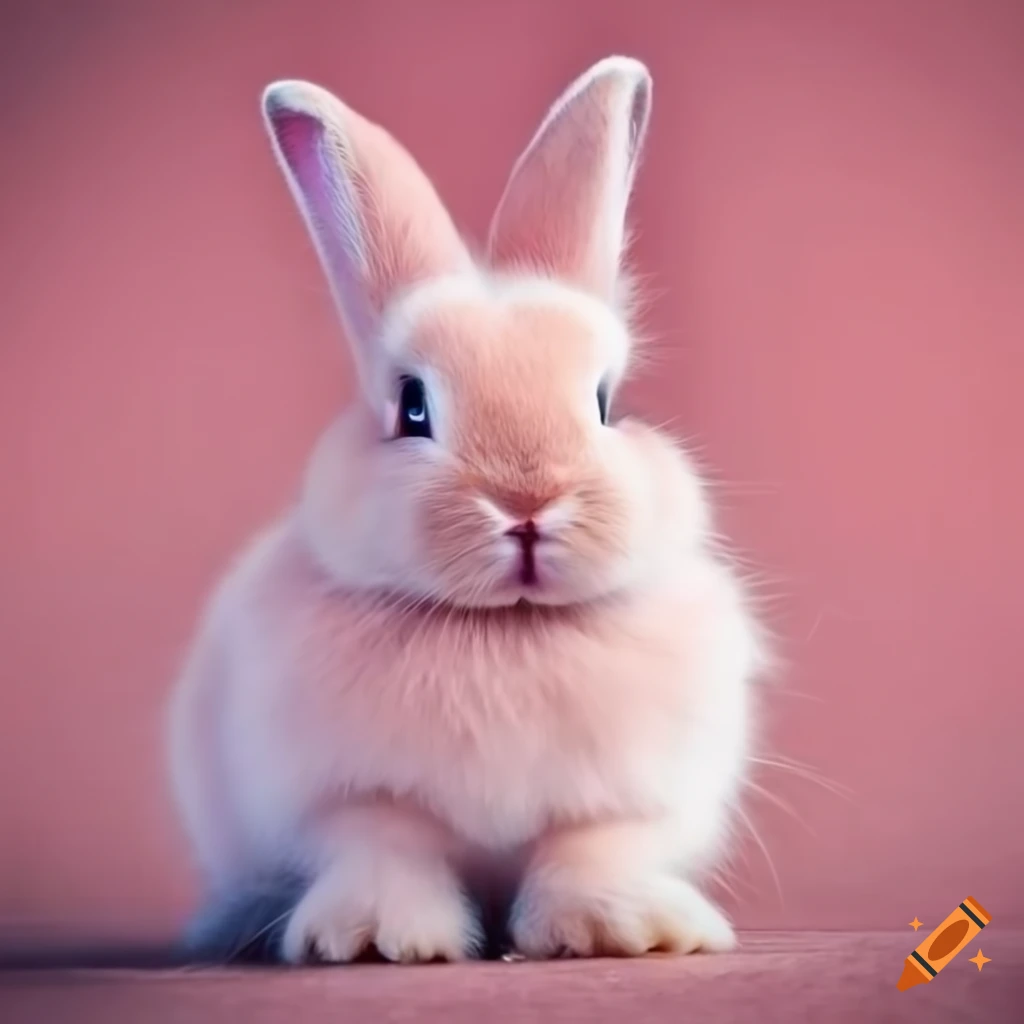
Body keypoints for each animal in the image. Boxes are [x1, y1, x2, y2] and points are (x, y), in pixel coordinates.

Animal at [167, 55, 766, 965]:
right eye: (412, 407)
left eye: (606, 403)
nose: (526, 503)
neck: (504, 630)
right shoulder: (353, 797)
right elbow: (385, 848)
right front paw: (377, 939)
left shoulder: (621, 799)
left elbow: (588, 850)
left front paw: (624, 932)